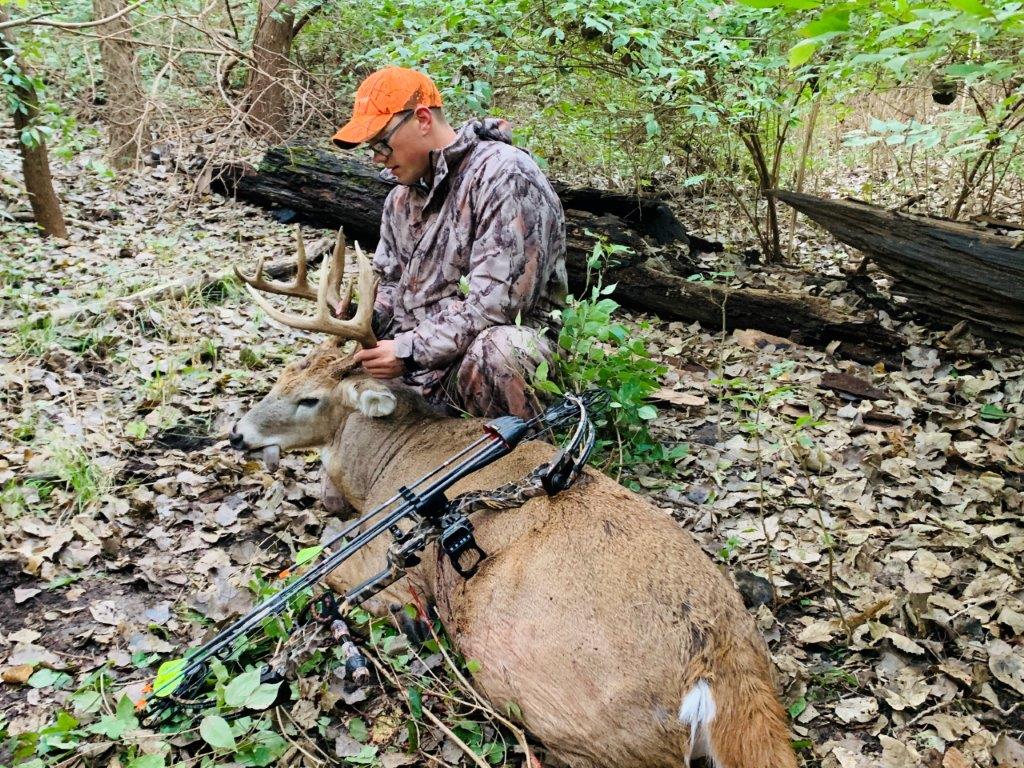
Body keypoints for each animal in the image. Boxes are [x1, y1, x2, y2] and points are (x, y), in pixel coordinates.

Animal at [229, 228, 798, 768]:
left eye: (310, 399)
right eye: (282, 375)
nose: (237, 433)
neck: (384, 462)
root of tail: (722, 668)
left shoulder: (382, 557)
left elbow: (326, 570)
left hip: (568, 707)